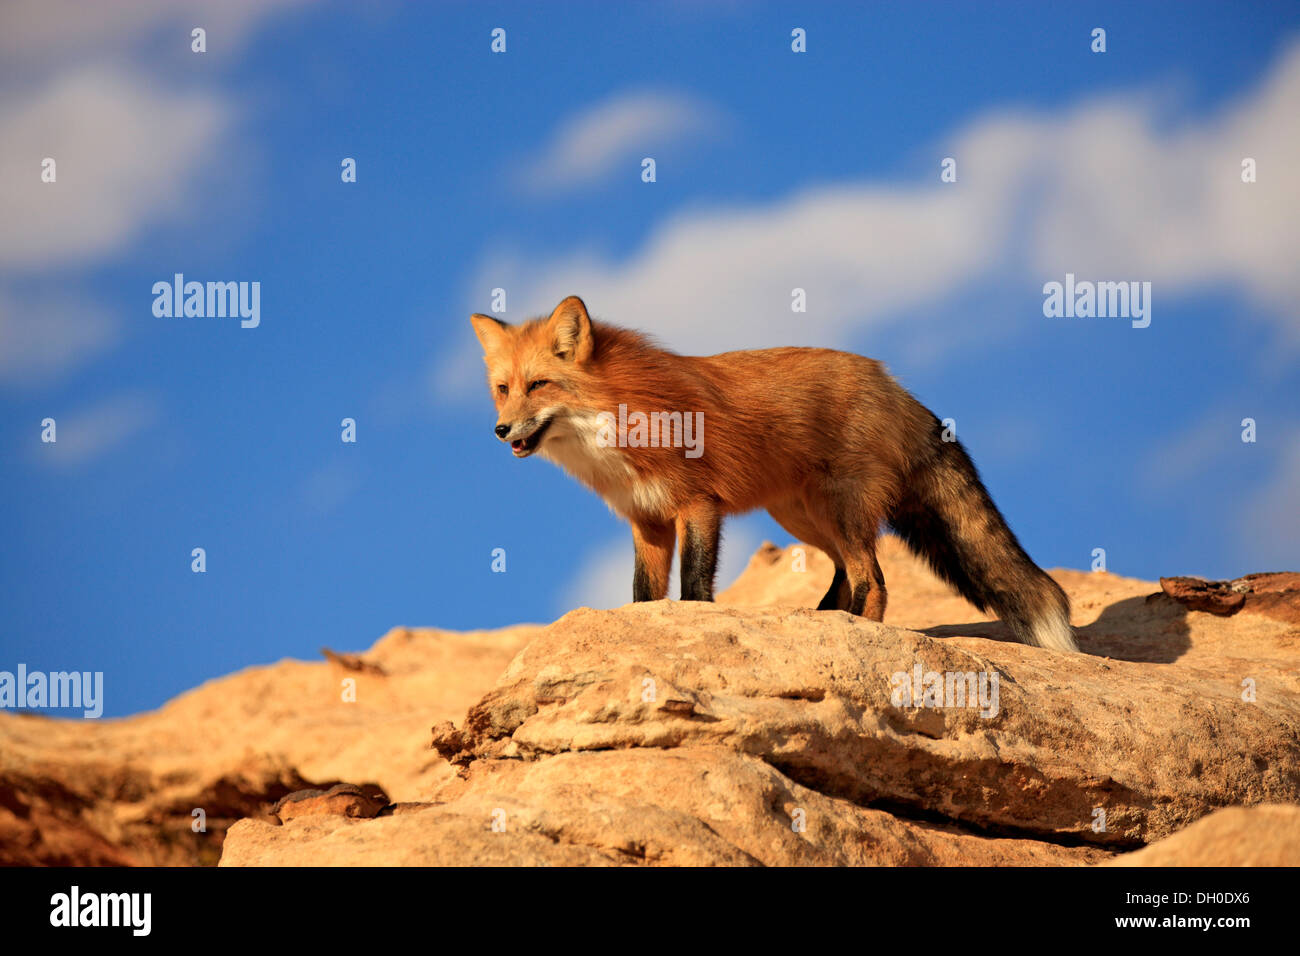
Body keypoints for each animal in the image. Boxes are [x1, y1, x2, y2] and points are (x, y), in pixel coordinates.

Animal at [472, 295, 1079, 653]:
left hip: (840, 510)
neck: (623, 417)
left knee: (874, 582)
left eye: (538, 386)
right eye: (503, 389)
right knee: (846, 575)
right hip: (801, 516)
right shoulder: (647, 520)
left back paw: (859, 635)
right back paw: (825, 621)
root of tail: (894, 383)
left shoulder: (698, 505)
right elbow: (645, 596)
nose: (500, 431)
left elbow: (694, 589)